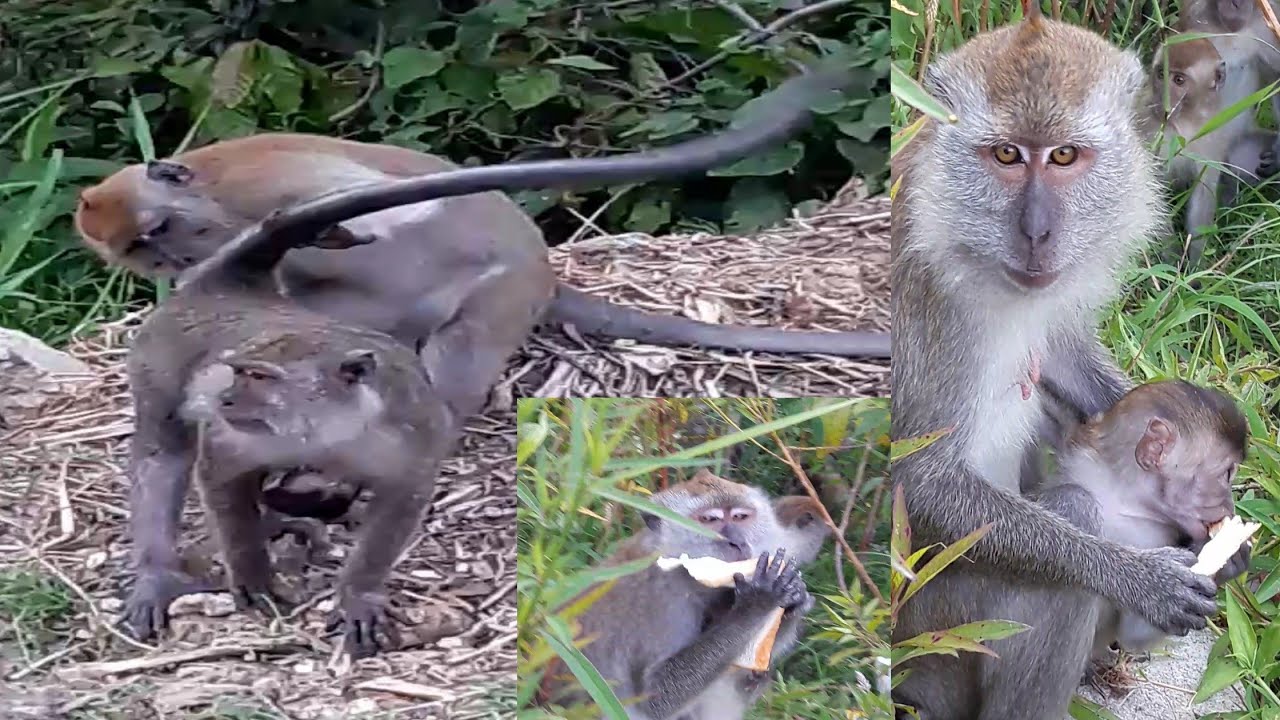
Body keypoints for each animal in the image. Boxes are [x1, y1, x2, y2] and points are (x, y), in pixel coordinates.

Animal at [74, 68, 891, 361]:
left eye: (157, 232)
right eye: (144, 254)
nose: (171, 263)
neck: (208, 190)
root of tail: (545, 277)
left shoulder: (263, 180)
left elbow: (368, 214)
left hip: (488, 297)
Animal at [537, 470, 815, 720]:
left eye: (739, 516)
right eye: (710, 520)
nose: (736, 542)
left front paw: (794, 601)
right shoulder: (663, 601)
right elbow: (656, 696)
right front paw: (757, 603)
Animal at [889, 6, 1221, 719]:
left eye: (1064, 155)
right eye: (1006, 155)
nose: (1038, 231)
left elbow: (1064, 357)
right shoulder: (923, 308)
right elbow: (919, 481)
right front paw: (1135, 576)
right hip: (942, 637)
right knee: (1069, 524)